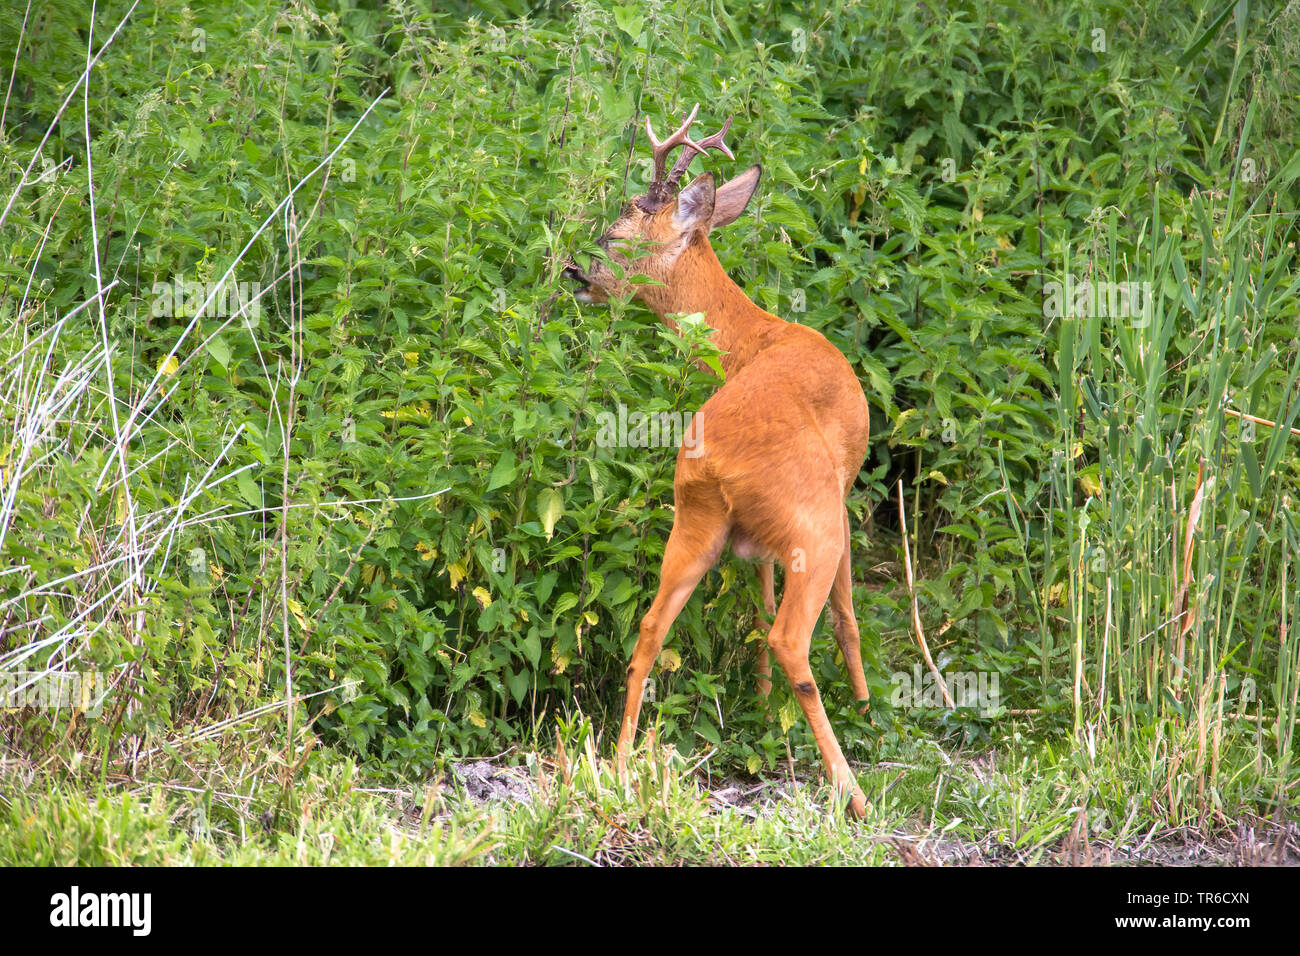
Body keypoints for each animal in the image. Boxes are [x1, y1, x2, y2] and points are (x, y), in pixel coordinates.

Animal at [564, 105, 872, 818]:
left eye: (616, 234)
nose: (573, 272)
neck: (751, 340)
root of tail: (714, 465)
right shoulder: (843, 494)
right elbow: (846, 616)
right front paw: (868, 706)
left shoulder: (754, 543)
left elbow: (756, 604)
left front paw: (758, 705)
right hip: (816, 521)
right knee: (793, 639)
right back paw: (853, 793)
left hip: (696, 521)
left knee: (650, 628)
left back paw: (621, 765)